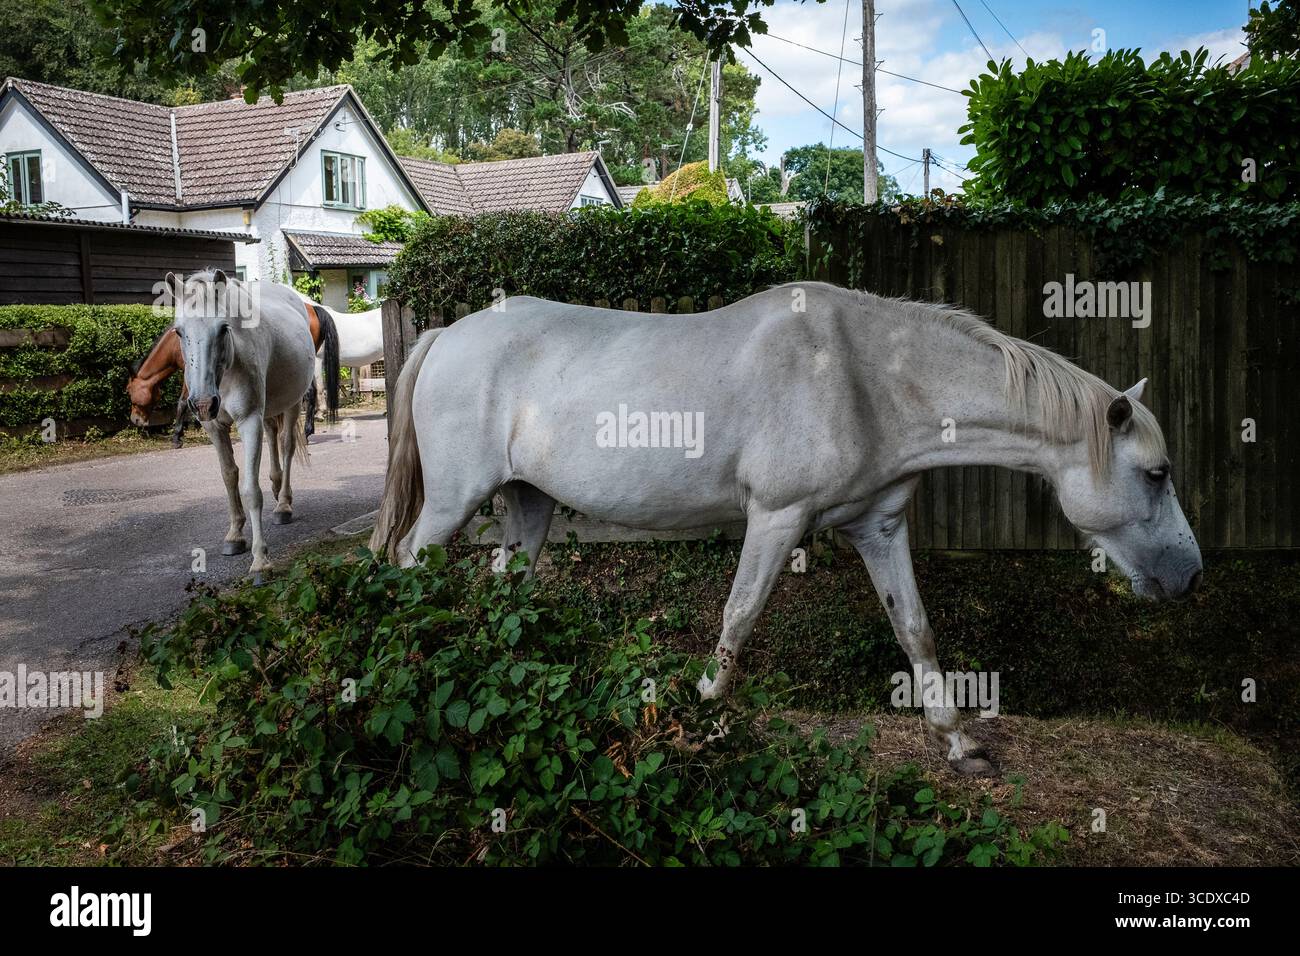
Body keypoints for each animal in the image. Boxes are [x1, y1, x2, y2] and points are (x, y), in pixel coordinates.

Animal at [127, 287, 340, 443]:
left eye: (129, 392)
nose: (135, 420)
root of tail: (310, 307)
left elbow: (181, 403)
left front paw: (177, 436)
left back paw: (305, 431)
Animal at [174, 270, 337, 576]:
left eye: (223, 328)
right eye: (179, 331)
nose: (202, 404)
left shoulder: (249, 420)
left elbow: (251, 489)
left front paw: (260, 561)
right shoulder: (214, 427)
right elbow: (229, 476)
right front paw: (235, 535)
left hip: (292, 402)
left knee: (285, 445)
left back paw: (283, 504)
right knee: (272, 436)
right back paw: (276, 485)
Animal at [370, 281, 1203, 776]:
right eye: (1155, 474)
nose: (1189, 575)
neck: (866, 376)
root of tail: (446, 335)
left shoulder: (879, 529)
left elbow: (917, 631)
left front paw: (958, 741)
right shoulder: (775, 518)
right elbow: (738, 619)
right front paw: (697, 722)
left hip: (527, 503)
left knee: (504, 588)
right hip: (453, 503)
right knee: (409, 566)